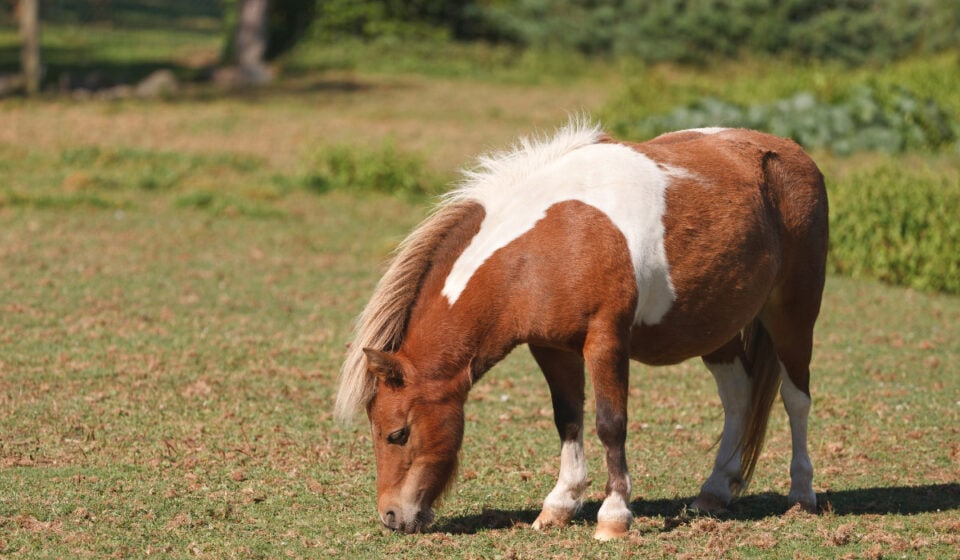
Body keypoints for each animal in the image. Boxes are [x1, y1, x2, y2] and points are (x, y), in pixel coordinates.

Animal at [335, 119, 828, 540]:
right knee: (738, 396)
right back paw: (715, 491)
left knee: (796, 399)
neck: (543, 249)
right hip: (717, 329)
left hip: (794, 315)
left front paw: (614, 517)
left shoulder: (606, 340)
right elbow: (567, 418)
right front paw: (559, 506)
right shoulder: (551, 348)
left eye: (398, 434)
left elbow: (611, 424)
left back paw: (801, 494)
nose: (392, 516)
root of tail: (793, 154)